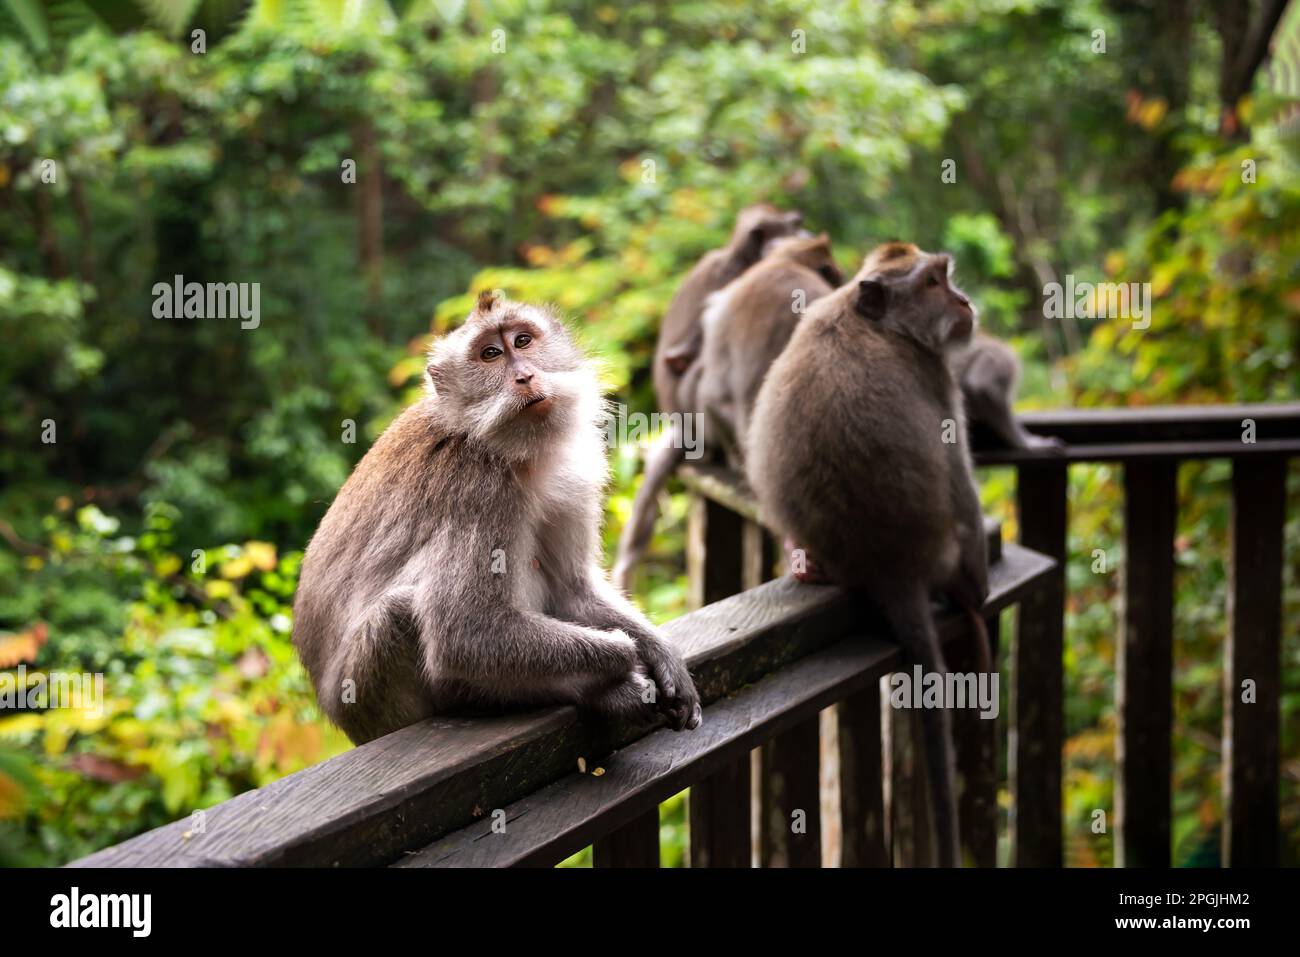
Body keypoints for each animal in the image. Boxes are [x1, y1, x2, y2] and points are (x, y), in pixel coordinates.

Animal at [293, 291, 702, 745]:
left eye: (522, 341)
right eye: (490, 354)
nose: (524, 376)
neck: (507, 449)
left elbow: (571, 590)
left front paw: (661, 654)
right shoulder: (478, 489)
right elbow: (465, 634)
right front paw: (625, 655)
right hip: (371, 697)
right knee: (400, 611)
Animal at [746, 242, 989, 867]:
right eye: (933, 283)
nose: (964, 300)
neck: (871, 319)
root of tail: (893, 567)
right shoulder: (935, 372)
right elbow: (961, 475)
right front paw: (982, 586)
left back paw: (808, 564)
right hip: (942, 551)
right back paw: (966, 592)